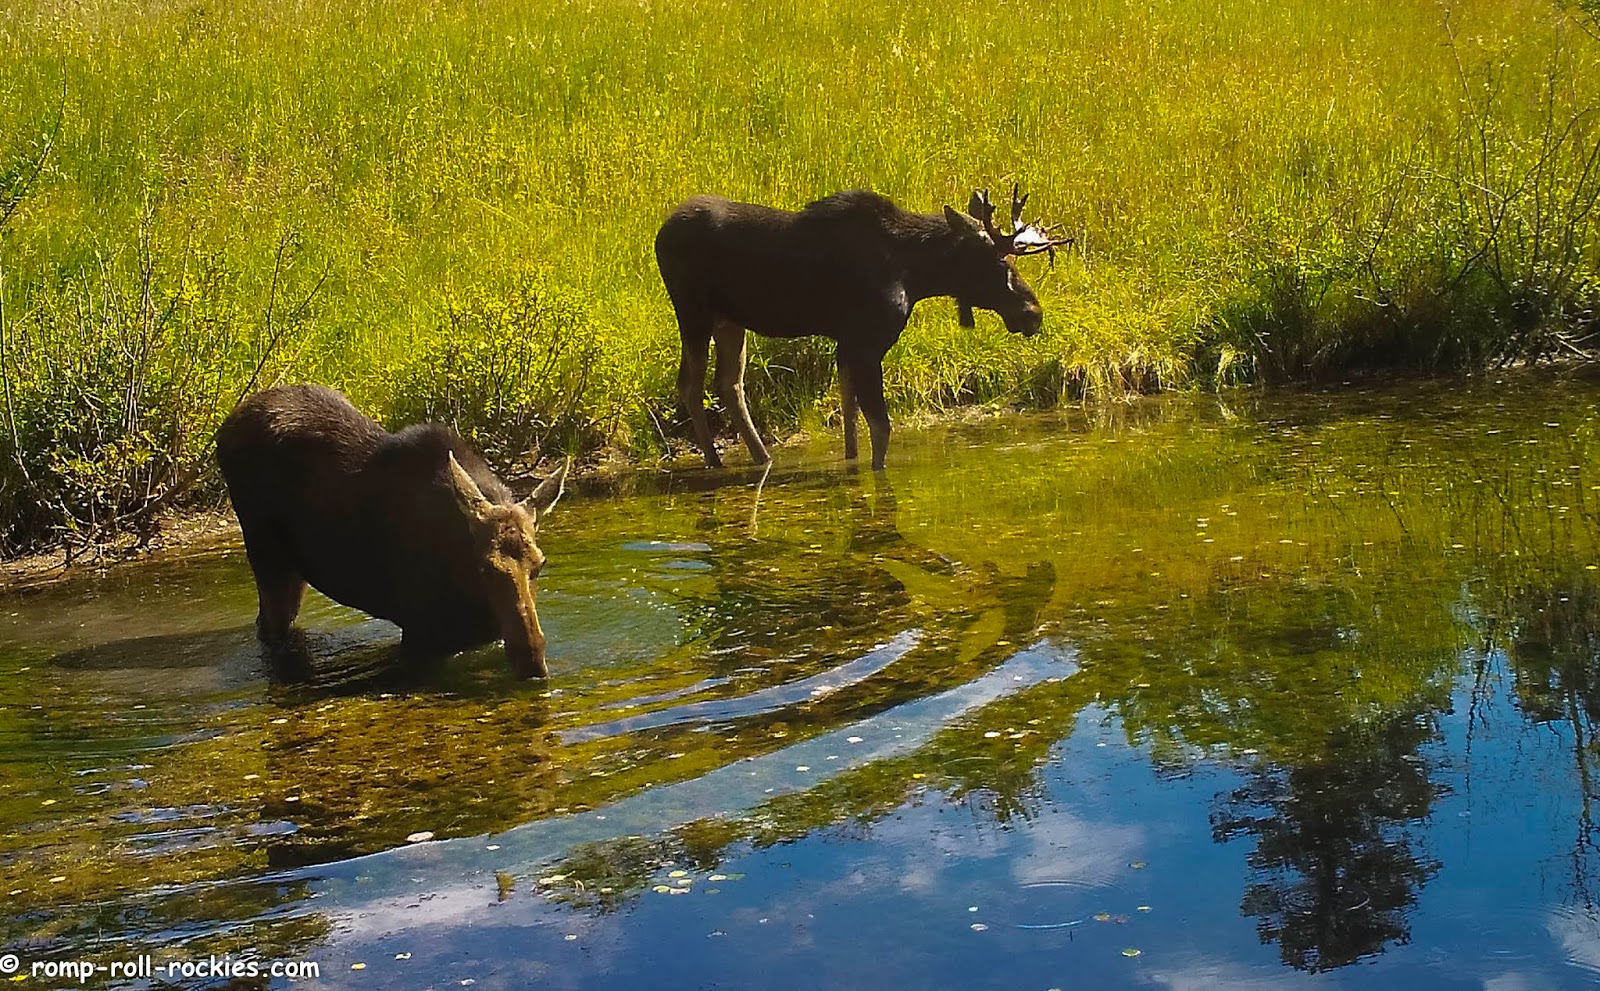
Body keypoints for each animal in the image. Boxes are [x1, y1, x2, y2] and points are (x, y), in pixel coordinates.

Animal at [655, 184, 1070, 470]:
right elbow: (881, 426)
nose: (1033, 312)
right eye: (1000, 264)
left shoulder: (847, 343)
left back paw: (761, 457)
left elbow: (850, 419)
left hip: (730, 321)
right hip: (692, 311)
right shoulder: (867, 344)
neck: (918, 275)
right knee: (691, 384)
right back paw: (715, 460)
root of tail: (659, 235)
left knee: (729, 384)